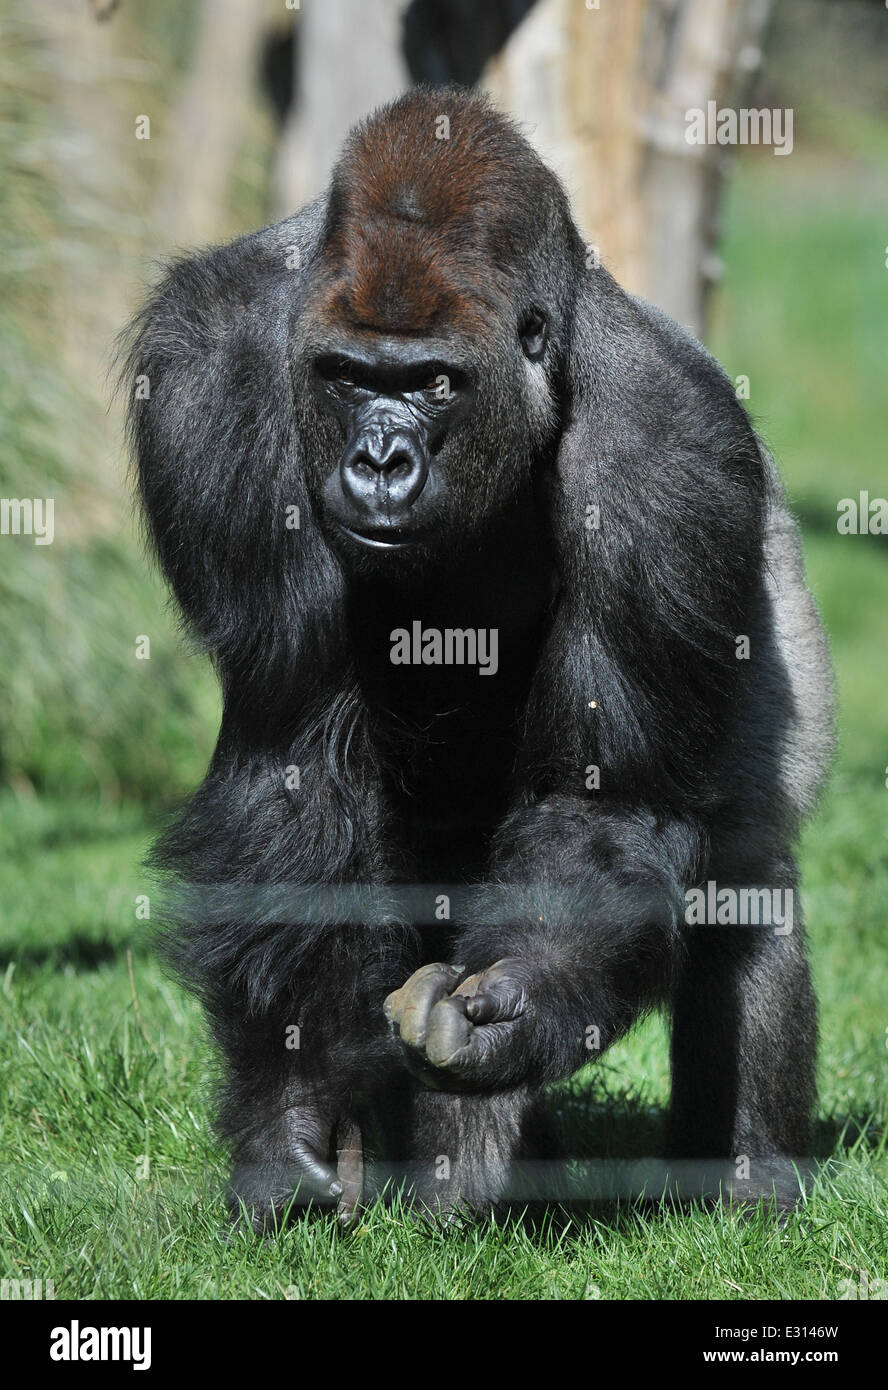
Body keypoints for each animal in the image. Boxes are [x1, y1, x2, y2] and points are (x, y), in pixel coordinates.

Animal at [124, 87, 833, 1229]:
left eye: (432, 384)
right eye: (350, 377)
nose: (379, 461)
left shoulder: (673, 452)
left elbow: (607, 807)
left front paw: (514, 1014)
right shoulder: (206, 382)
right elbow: (295, 762)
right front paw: (288, 1117)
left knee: (745, 862)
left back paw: (739, 1178)